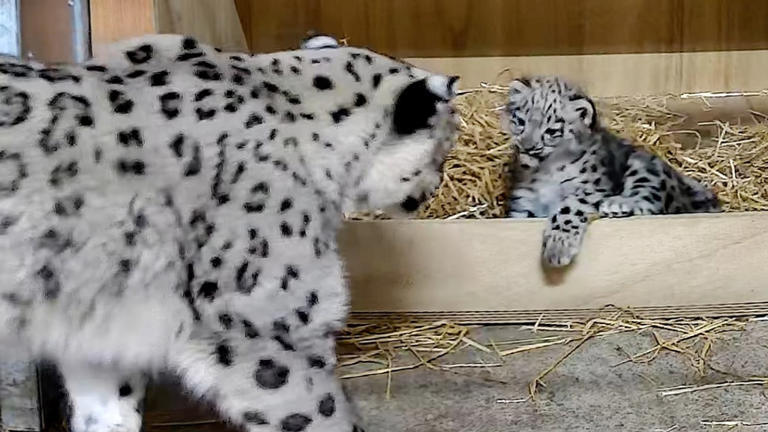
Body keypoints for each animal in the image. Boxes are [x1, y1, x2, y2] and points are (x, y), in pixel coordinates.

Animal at [0, 33, 459, 432]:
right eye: (446, 141)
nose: (434, 186)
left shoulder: (102, 332)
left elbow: (108, 408)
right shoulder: (270, 325)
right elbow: (317, 411)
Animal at [503, 76, 720, 267]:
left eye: (552, 131)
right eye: (520, 121)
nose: (527, 147)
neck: (545, 171)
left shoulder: (591, 189)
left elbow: (568, 208)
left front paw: (558, 246)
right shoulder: (523, 202)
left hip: (643, 167)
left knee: (651, 203)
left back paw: (616, 204)